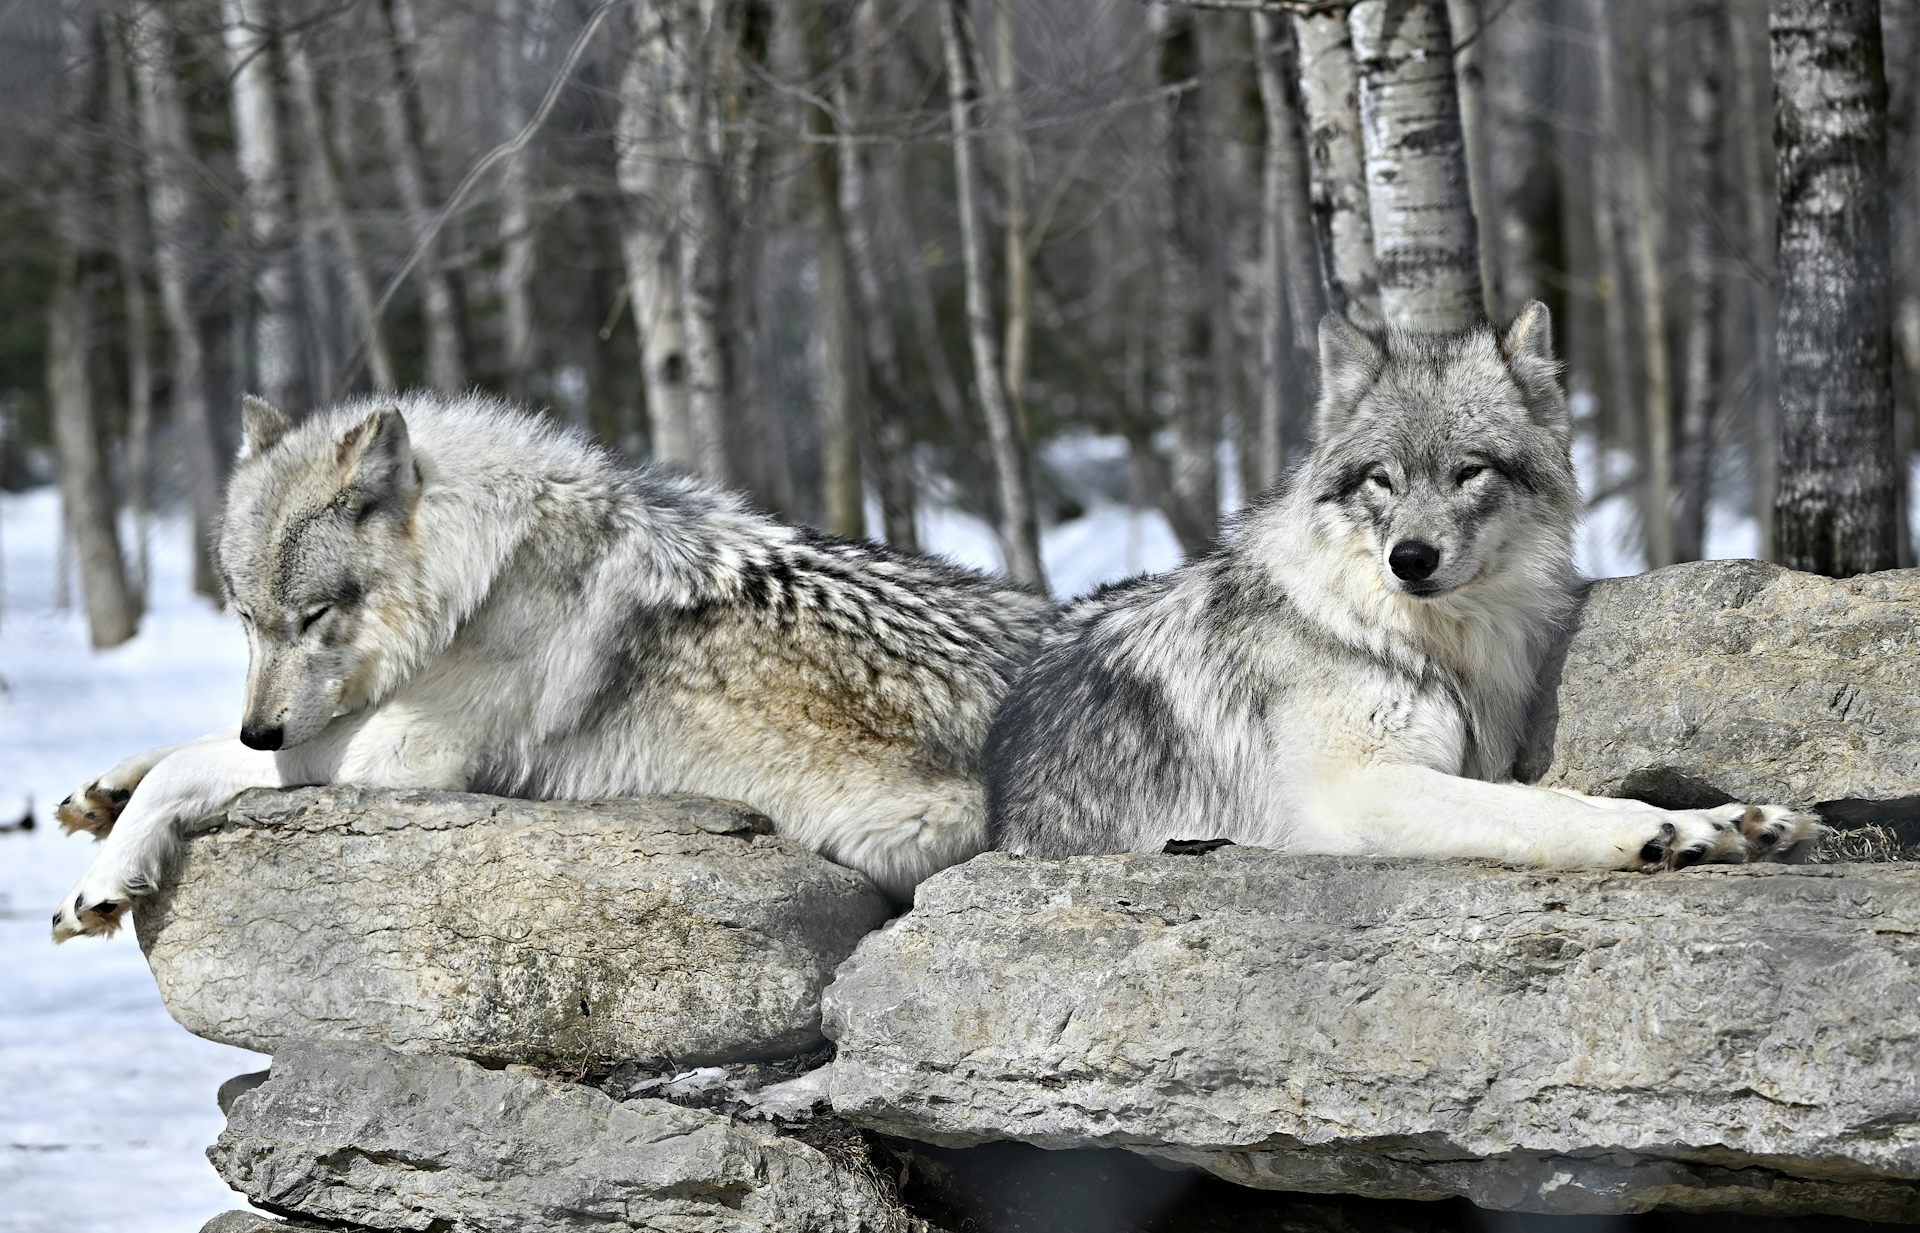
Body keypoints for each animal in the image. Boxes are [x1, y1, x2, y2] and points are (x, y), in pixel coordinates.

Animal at [52, 392, 1053, 940]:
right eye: (246, 619)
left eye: (315, 616)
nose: (264, 725)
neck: (478, 580)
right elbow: (192, 746)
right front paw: (105, 790)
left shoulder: (405, 755)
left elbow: (200, 763)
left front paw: (105, 876)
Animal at [988, 303, 1825, 869]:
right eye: (1382, 479)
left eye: (1469, 472)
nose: (1410, 559)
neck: (1397, 630)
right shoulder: (1359, 788)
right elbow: (1541, 802)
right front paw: (1656, 829)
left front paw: (1732, 817)